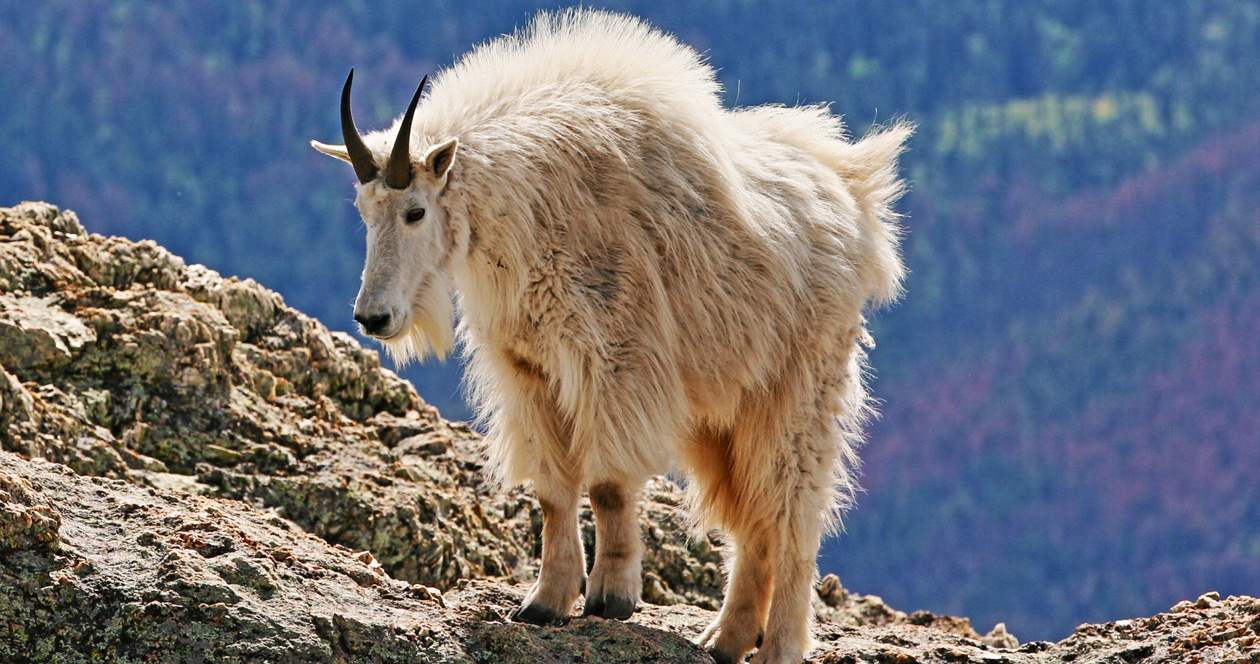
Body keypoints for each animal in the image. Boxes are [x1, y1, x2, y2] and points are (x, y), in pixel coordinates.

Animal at [312, 10, 910, 664]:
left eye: (415, 210)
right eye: (364, 211)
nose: (373, 318)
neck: (528, 211)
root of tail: (855, 195)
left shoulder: (615, 361)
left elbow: (606, 485)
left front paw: (612, 598)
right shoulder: (528, 371)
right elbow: (553, 492)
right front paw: (544, 603)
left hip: (800, 391)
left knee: (791, 516)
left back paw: (778, 646)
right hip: (724, 411)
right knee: (752, 521)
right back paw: (724, 640)